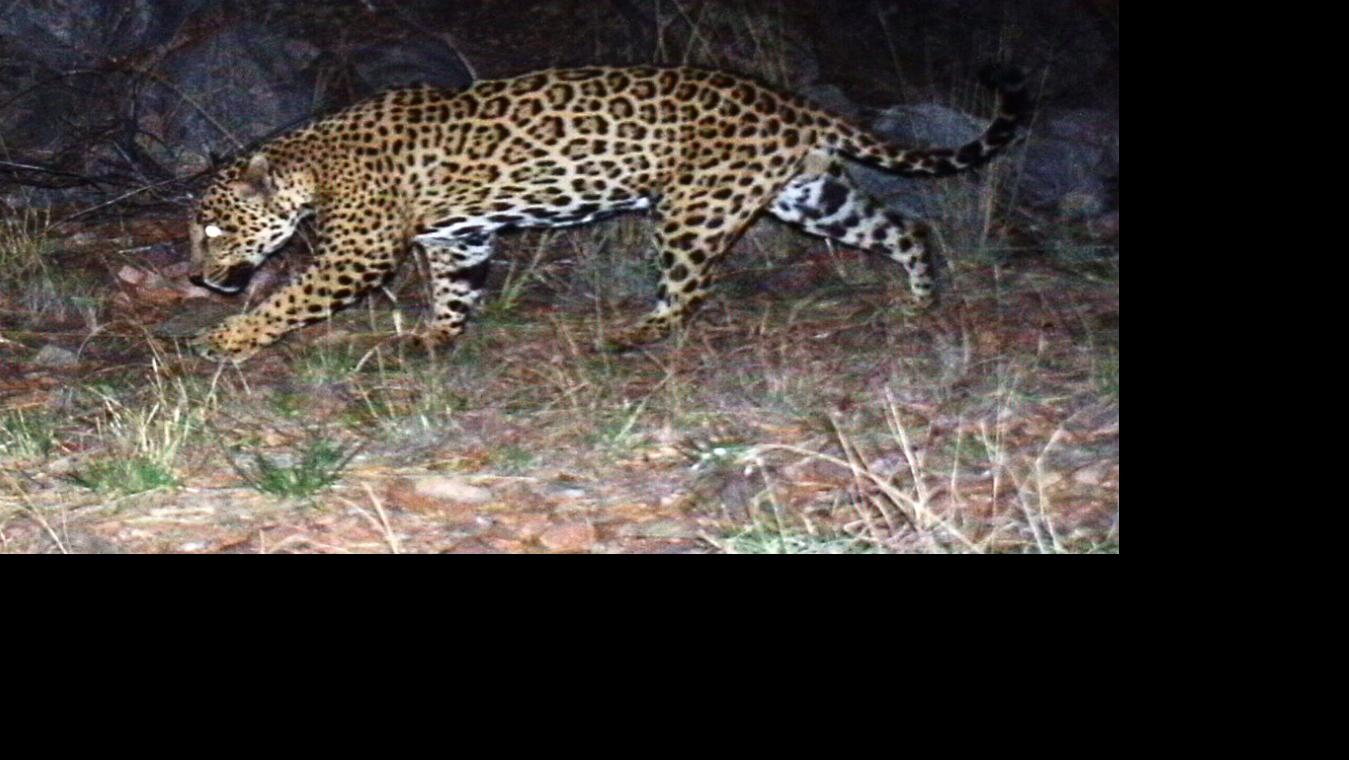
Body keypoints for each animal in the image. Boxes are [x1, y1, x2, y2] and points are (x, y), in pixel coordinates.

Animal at [187, 64, 1030, 362]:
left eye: (214, 229)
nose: (195, 277)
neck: (310, 163)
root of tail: (789, 102)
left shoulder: (358, 255)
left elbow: (290, 297)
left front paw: (224, 338)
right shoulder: (460, 237)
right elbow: (455, 294)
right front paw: (435, 336)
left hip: (693, 210)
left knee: (689, 290)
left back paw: (632, 334)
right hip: (809, 197)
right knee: (904, 227)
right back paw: (922, 302)